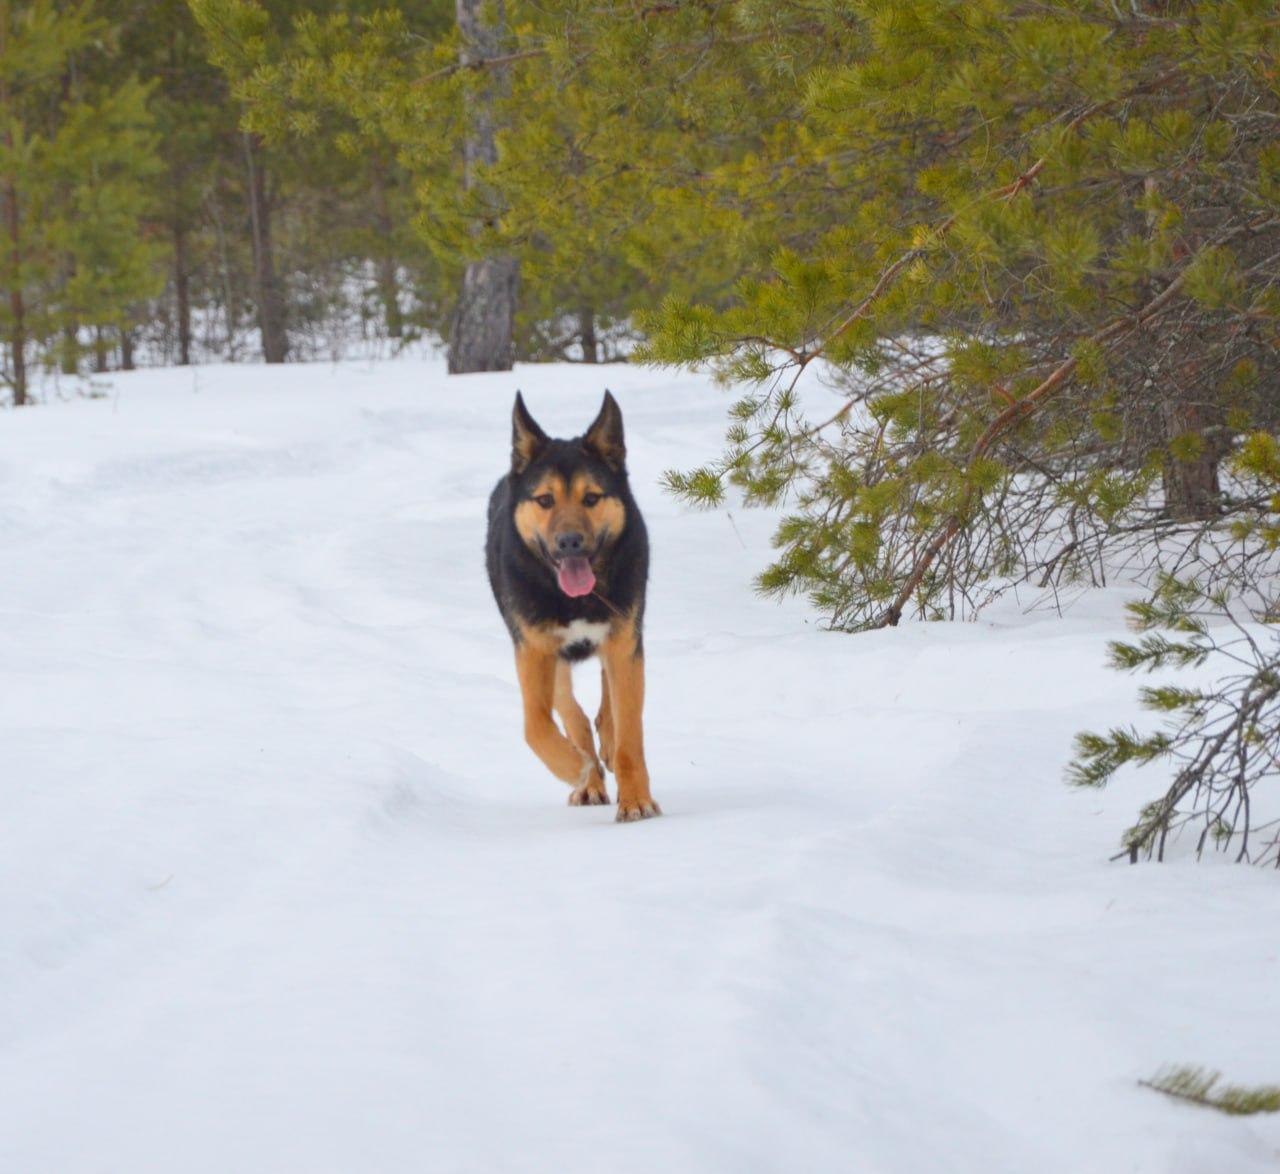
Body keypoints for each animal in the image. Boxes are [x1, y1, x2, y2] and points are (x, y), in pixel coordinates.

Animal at [481, 389, 660, 819]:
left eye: (591, 498)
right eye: (545, 499)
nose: (569, 542)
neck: (576, 600)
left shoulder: (624, 638)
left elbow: (629, 730)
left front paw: (636, 799)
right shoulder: (534, 649)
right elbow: (536, 725)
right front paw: (575, 768)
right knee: (570, 712)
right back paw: (589, 776)